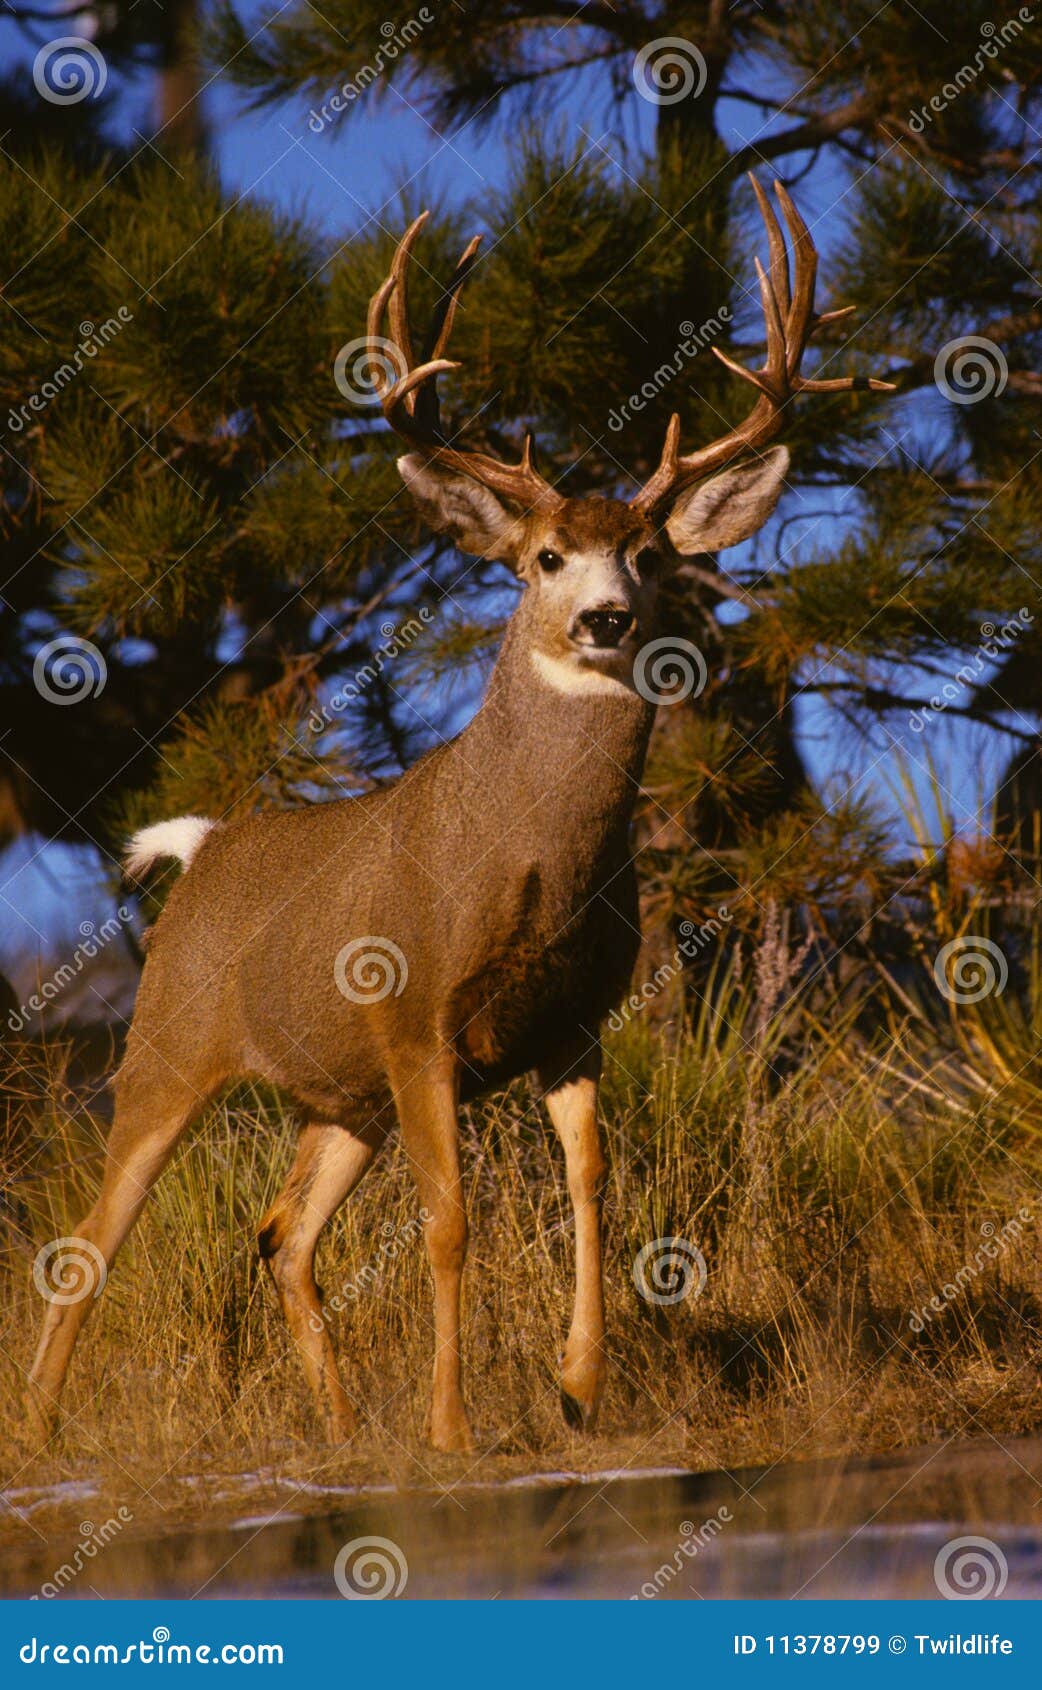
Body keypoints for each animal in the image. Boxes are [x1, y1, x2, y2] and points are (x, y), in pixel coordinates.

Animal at [27, 178, 891, 1454]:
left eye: (650, 555)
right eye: (544, 557)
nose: (604, 619)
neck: (526, 865)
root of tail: (205, 845)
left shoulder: (572, 1022)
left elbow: (593, 1188)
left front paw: (577, 1386)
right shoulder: (416, 1016)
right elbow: (448, 1222)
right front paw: (451, 1427)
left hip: (340, 1100)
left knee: (283, 1235)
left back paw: (339, 1428)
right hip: (168, 1049)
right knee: (92, 1240)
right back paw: (42, 1433)